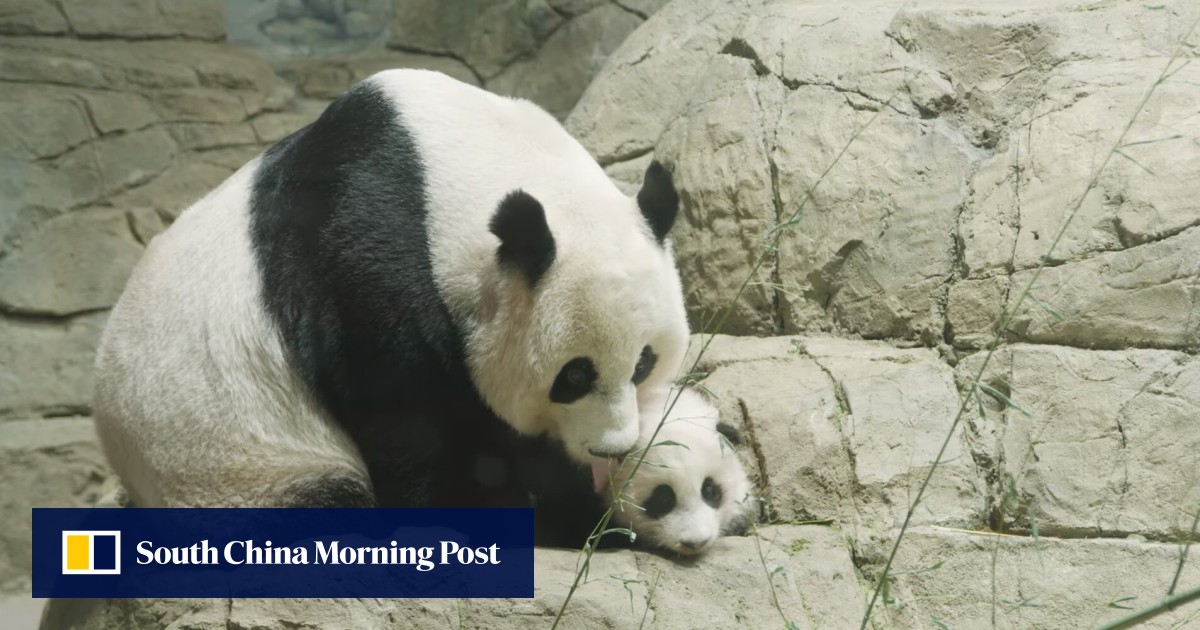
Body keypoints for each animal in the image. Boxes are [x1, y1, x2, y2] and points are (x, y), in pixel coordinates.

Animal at [92, 69, 690, 509]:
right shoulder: (361, 263)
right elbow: (406, 419)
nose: (612, 447)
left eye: (644, 363)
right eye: (574, 376)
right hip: (236, 465)